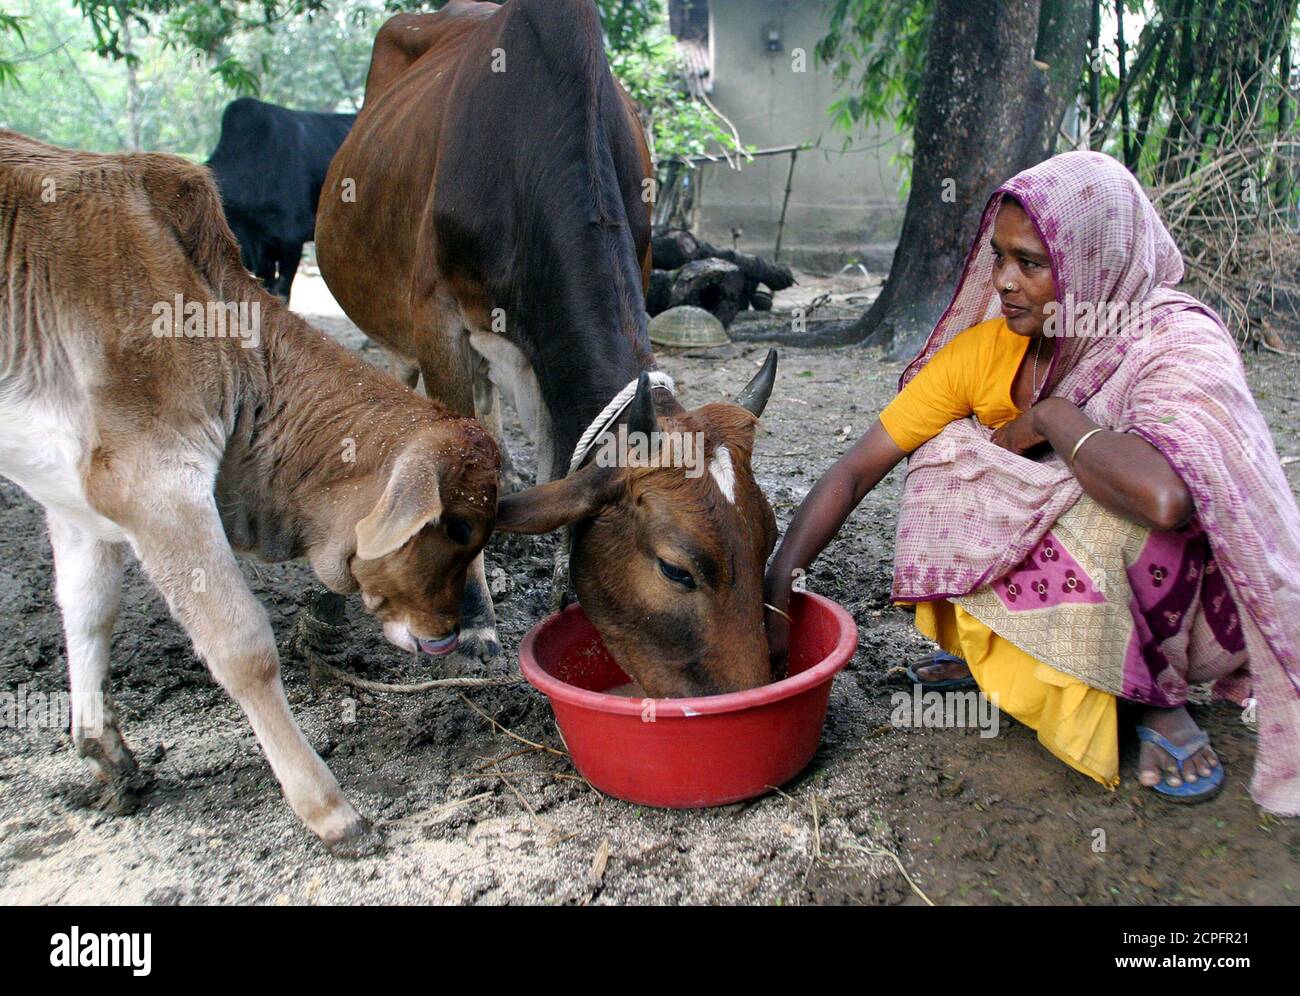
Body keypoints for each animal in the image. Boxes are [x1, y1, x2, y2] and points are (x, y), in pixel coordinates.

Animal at [0, 130, 500, 853]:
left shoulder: (76, 500)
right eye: (456, 528)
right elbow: (243, 647)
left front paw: (104, 749)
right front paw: (330, 809)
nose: (448, 634)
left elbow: (88, 610)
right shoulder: (154, 481)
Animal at [316, 0, 781, 698]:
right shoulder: (436, 317)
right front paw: (474, 623)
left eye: (770, 537)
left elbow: (558, 457)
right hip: (391, 316)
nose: (755, 697)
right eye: (676, 569)